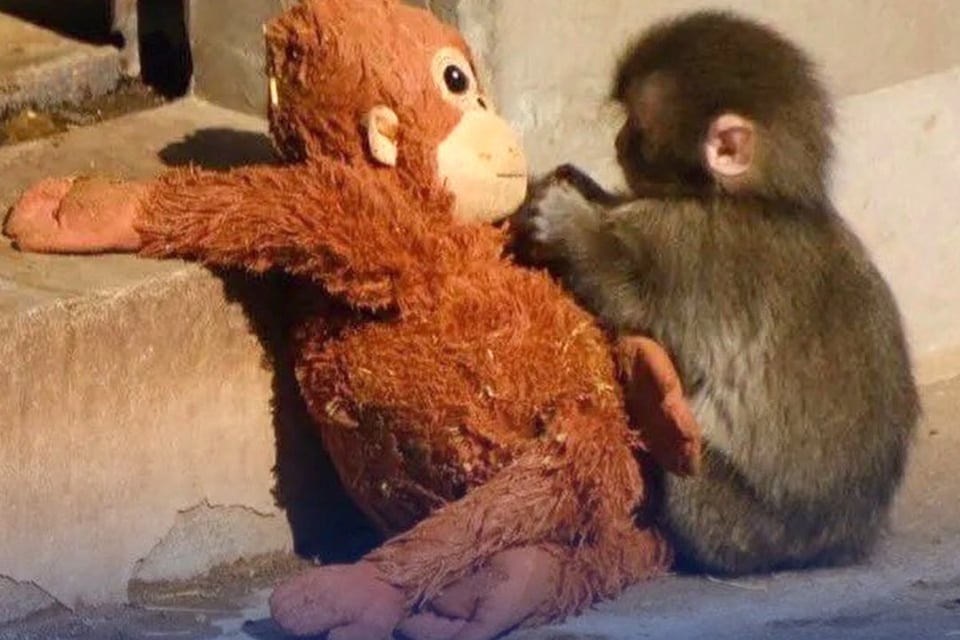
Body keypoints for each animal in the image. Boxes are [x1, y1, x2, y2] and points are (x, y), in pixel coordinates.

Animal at [509, 10, 921, 576]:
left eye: (636, 126)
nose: (617, 141)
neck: (761, 198)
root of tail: (834, 546)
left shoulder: (691, 246)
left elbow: (632, 300)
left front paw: (570, 224)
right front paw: (583, 187)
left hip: (731, 522)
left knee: (686, 477)